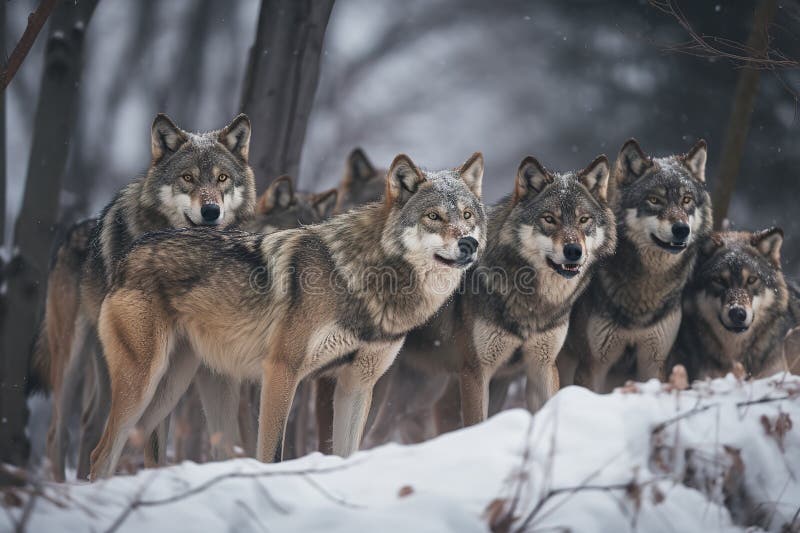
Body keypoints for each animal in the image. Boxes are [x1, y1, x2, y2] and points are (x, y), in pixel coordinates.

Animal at [46, 113, 255, 481]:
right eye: (187, 178)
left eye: (222, 178)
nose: (211, 210)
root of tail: (72, 230)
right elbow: (155, 449)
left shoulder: (214, 370)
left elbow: (225, 445)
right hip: (76, 360)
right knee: (59, 433)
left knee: (90, 427)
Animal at [88, 152, 486, 478]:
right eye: (433, 217)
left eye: (467, 216)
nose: (469, 243)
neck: (368, 277)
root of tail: (132, 251)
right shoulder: (282, 370)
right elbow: (272, 454)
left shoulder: (357, 384)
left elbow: (346, 455)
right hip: (144, 382)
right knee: (101, 452)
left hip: (172, 386)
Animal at [562, 139, 712, 392]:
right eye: (654, 200)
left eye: (686, 200)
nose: (682, 229)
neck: (647, 286)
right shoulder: (594, 365)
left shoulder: (654, 361)